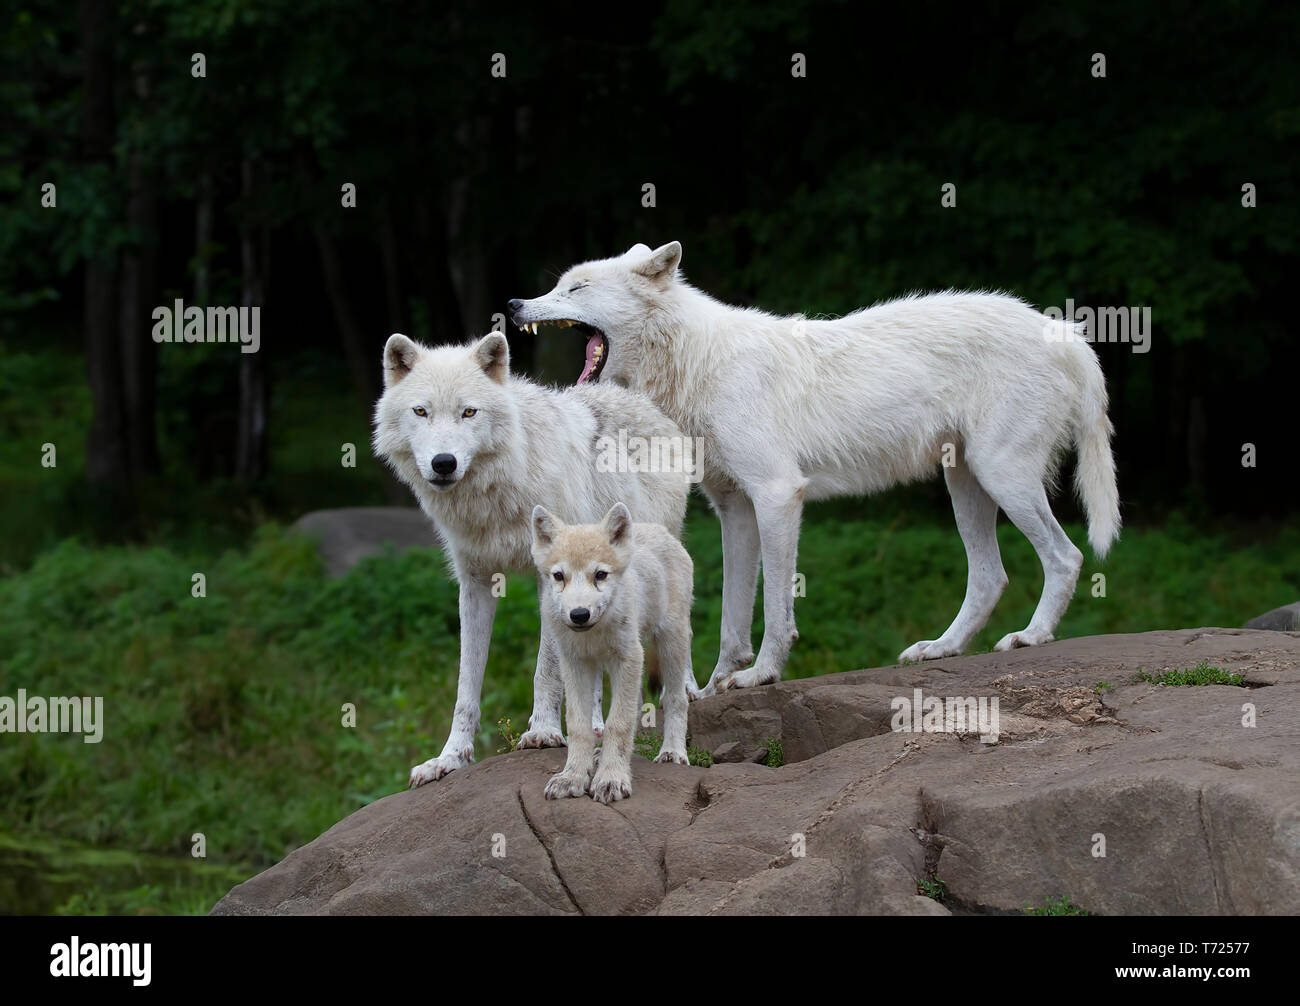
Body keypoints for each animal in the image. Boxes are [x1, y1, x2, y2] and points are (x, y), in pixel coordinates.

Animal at [509, 242, 1120, 694]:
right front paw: (709, 688)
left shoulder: (778, 496)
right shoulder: (734, 510)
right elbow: (732, 618)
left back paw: (1031, 637)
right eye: (559, 284)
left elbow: (776, 609)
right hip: (965, 485)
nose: (513, 304)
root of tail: (1069, 335)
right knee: (992, 577)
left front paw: (760, 676)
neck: (697, 361)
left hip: (1001, 477)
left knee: (1065, 557)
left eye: (576, 289)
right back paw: (940, 648)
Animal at [531, 502, 694, 803]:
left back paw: (673, 753)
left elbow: (618, 722)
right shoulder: (575, 664)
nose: (579, 614)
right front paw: (572, 777)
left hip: (670, 644)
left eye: (600, 575)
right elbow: (579, 726)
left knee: (676, 699)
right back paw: (598, 757)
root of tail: (658, 529)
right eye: (559, 577)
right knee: (637, 704)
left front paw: (611, 779)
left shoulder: (628, 658)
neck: (593, 635)